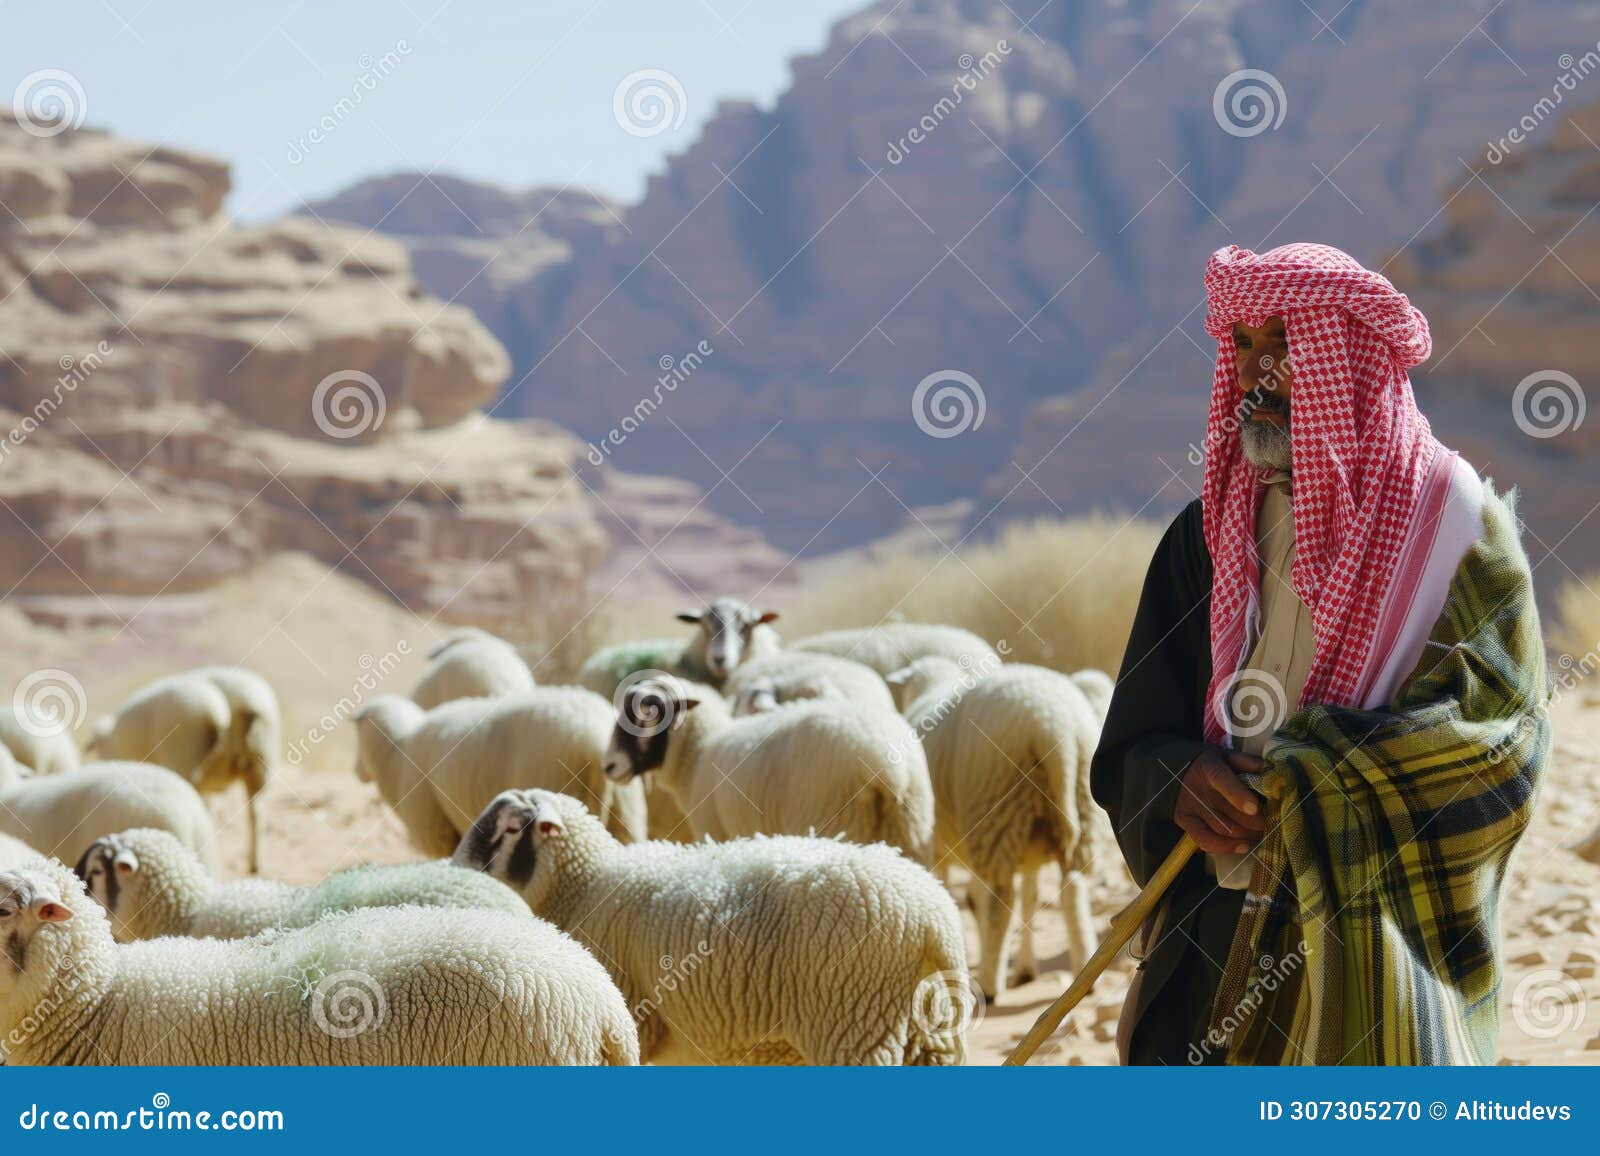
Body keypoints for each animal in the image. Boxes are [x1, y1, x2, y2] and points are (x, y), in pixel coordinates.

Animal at [455, 788, 972, 1064]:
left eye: (509, 829)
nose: (455, 869)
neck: (585, 883)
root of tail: (933, 913)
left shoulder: (636, 1017)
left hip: (856, 1021)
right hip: (925, 1027)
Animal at [602, 678, 934, 863]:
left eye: (647, 715)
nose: (609, 765)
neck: (698, 752)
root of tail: (889, 767)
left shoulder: (714, 830)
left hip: (836, 821)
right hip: (911, 829)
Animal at [886, 656, 1102, 1001]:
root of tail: (1054, 729)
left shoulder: (939, 845)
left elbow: (961, 899)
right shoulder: (1029, 850)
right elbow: (1029, 896)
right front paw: (1025, 968)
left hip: (997, 813)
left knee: (1003, 901)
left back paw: (989, 984)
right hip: (1074, 812)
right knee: (1073, 889)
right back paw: (1083, 970)